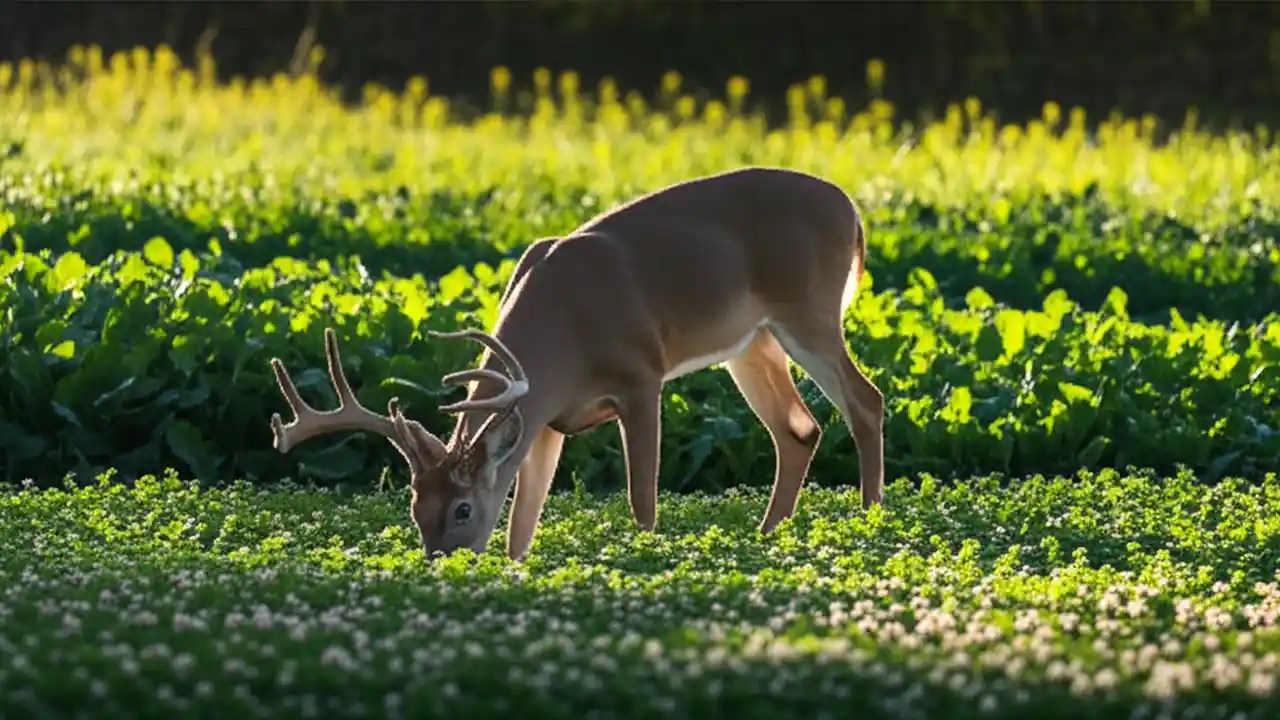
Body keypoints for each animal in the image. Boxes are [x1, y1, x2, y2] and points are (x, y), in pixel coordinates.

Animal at [267, 166, 885, 561]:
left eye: (463, 509)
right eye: (415, 507)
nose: (442, 562)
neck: (565, 329)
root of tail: (854, 210)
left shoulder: (641, 375)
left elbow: (642, 499)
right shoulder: (546, 419)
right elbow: (521, 525)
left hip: (808, 312)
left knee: (865, 400)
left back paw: (869, 521)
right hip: (751, 345)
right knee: (798, 430)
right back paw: (767, 535)